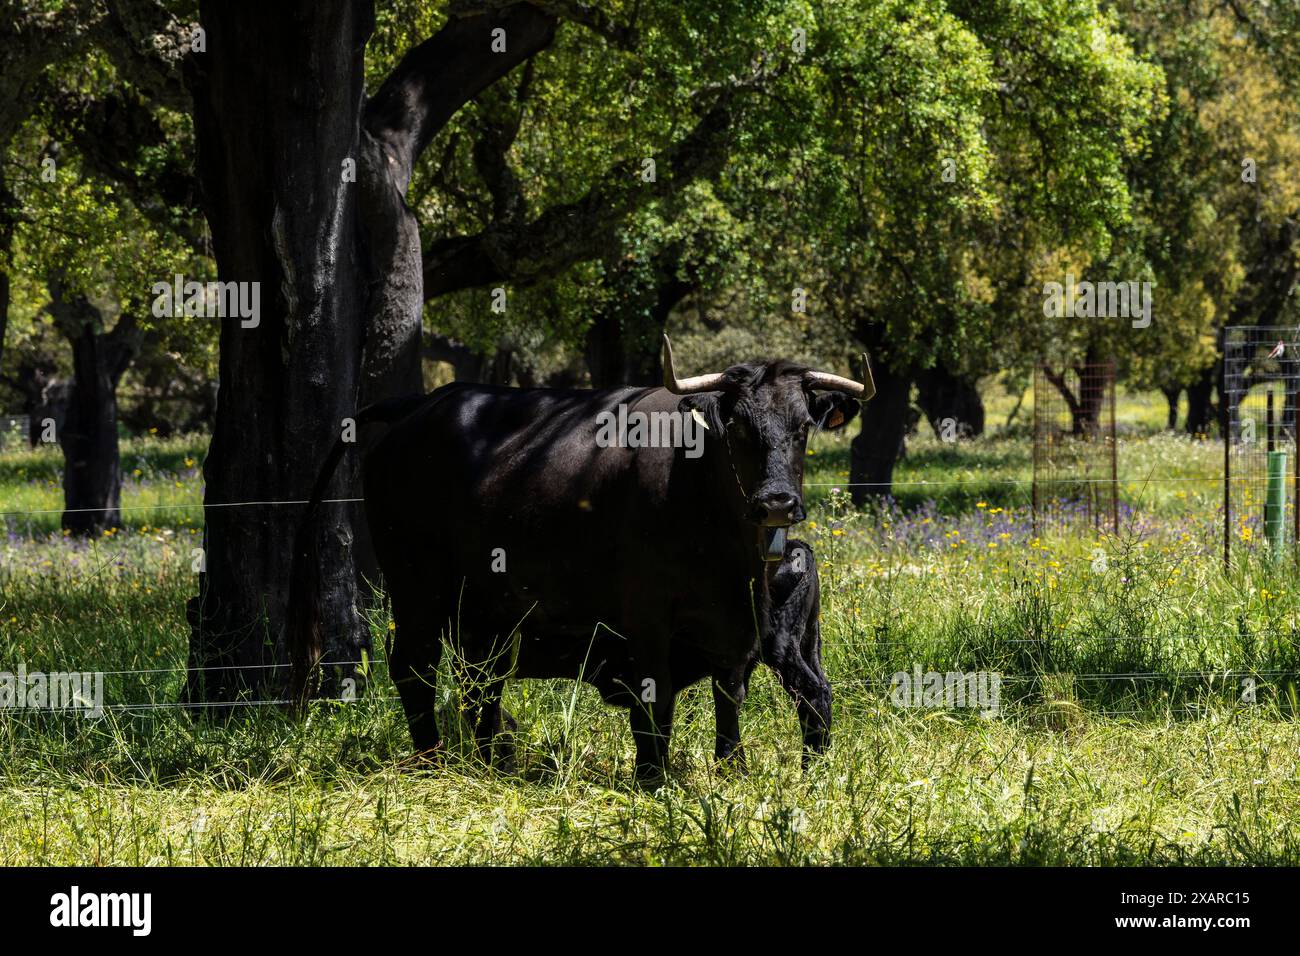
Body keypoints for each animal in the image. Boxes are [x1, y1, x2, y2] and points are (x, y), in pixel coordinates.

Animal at [289, 336, 872, 785]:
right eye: (739, 428)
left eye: (802, 427)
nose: (777, 503)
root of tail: (426, 403)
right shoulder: (645, 619)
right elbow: (655, 701)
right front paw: (651, 780)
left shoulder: (739, 628)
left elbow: (729, 703)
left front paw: (732, 773)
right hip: (415, 588)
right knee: (415, 668)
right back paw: (434, 762)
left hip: (483, 611)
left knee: (481, 684)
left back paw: (490, 764)